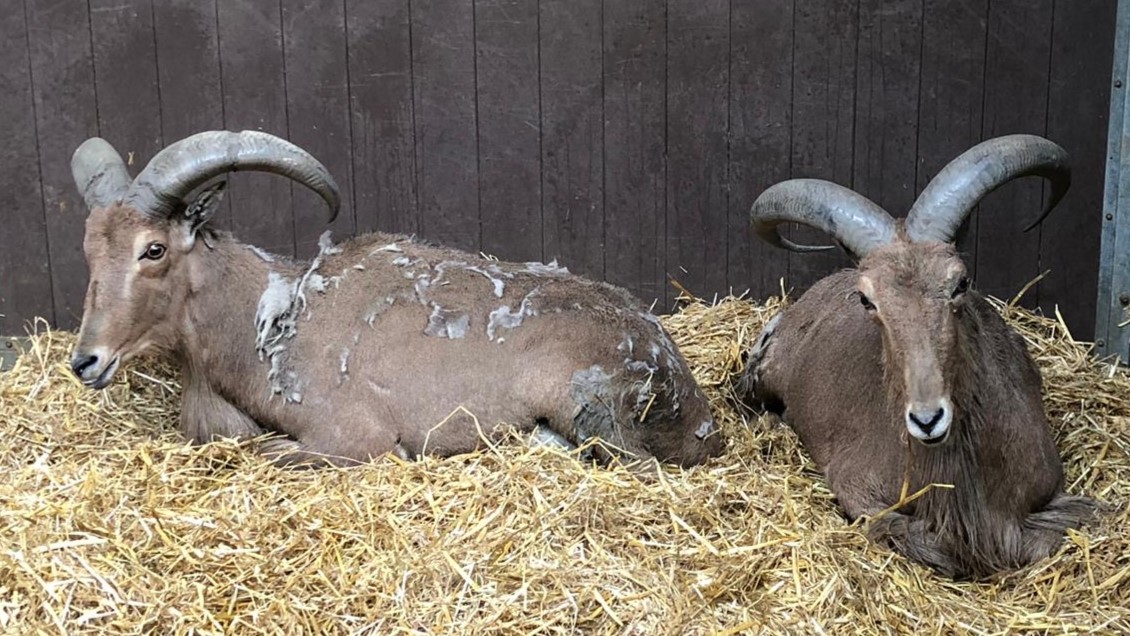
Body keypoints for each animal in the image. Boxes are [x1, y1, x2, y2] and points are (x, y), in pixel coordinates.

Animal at [67, 130, 722, 470]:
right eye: (89, 249)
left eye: (153, 249)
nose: (85, 361)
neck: (267, 319)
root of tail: (697, 409)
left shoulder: (348, 438)